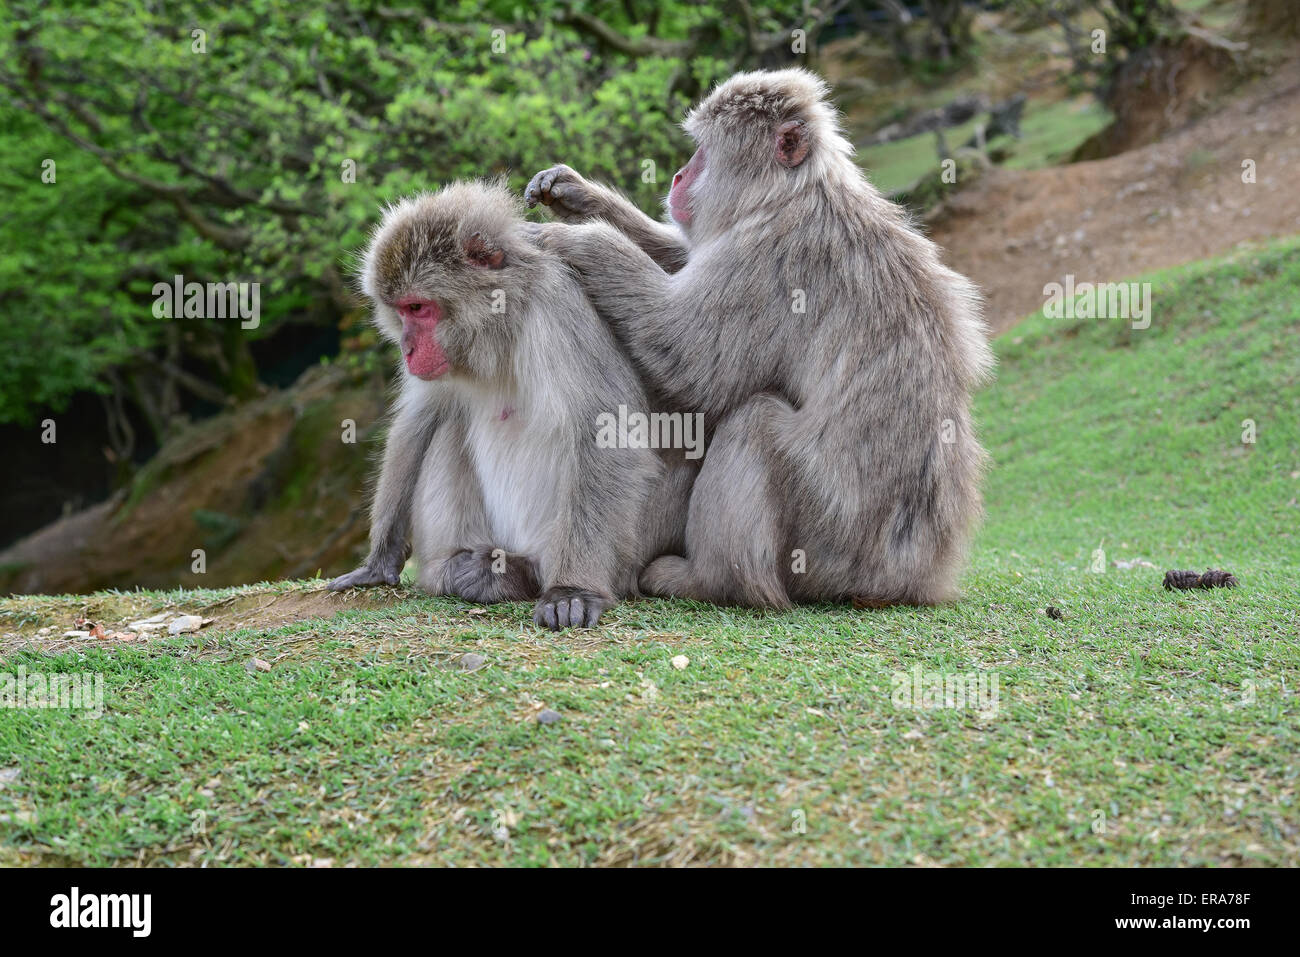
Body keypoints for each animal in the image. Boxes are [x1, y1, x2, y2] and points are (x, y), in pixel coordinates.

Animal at [327, 180, 670, 629]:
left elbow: (606, 431)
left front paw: (572, 590)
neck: (501, 326)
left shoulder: (558, 309)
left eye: (418, 307)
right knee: (447, 428)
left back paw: (523, 576)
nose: (406, 349)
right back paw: (472, 569)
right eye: (401, 311)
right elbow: (419, 420)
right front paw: (380, 559)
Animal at [525, 68, 995, 609]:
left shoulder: (774, 256)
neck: (788, 193)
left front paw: (578, 239)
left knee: (754, 421)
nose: (678, 177)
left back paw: (710, 579)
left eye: (703, 151)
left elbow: (689, 355)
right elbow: (689, 260)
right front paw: (577, 195)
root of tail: (912, 577)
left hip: (827, 537)